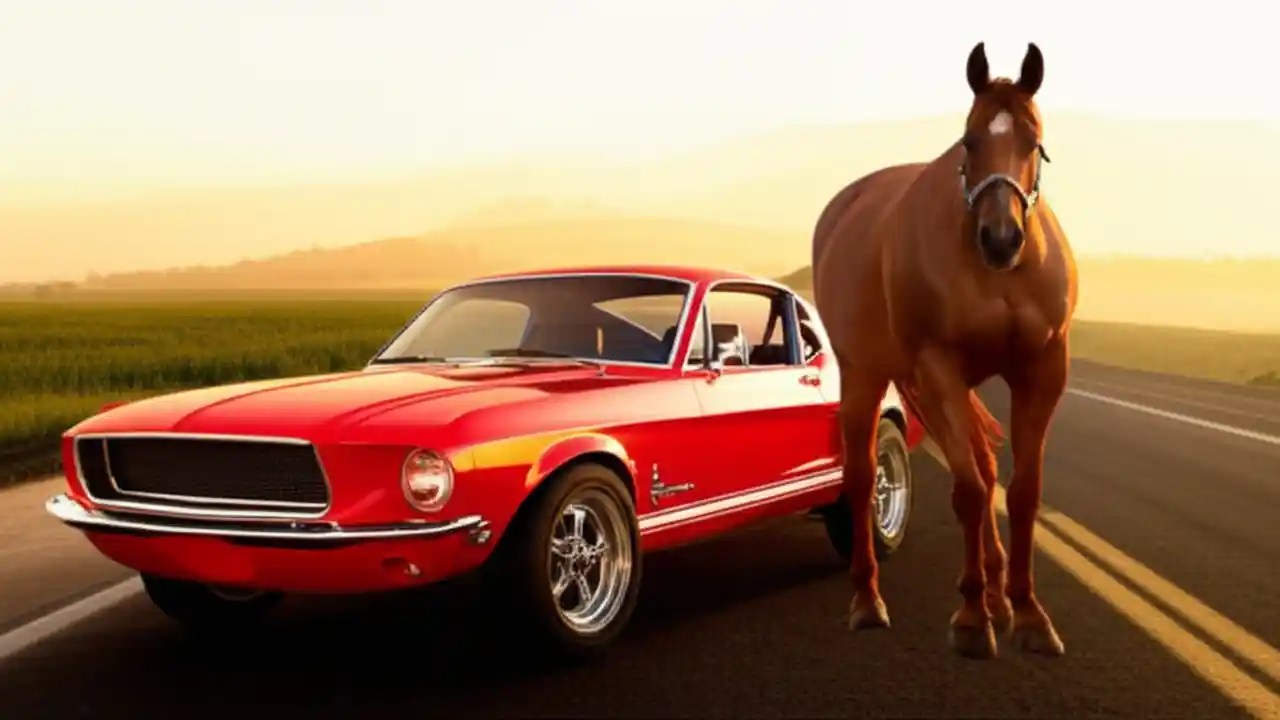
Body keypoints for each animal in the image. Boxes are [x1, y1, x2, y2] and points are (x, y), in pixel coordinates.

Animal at [811, 41, 1078, 659]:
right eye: (969, 141)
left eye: (1035, 143)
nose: (1001, 240)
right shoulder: (938, 367)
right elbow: (970, 492)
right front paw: (972, 618)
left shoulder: (1043, 369)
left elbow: (1020, 491)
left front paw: (1028, 614)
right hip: (868, 374)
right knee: (863, 475)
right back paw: (867, 601)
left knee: (981, 460)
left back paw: (1000, 596)